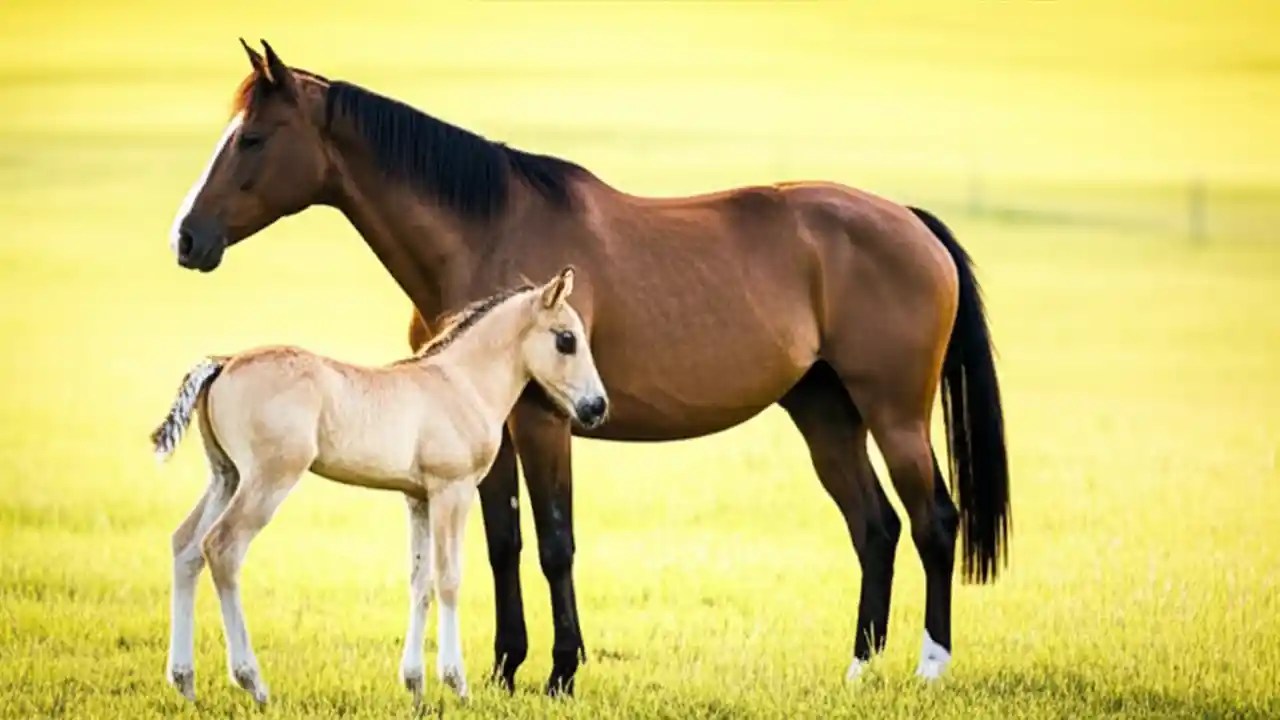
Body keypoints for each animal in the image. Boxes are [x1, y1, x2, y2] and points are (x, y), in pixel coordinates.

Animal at [150, 268, 608, 705]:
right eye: (566, 339)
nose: (597, 407)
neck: (461, 384)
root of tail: (223, 363)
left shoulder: (418, 498)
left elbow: (421, 582)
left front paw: (415, 685)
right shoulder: (452, 490)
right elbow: (449, 578)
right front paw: (456, 683)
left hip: (226, 477)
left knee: (185, 546)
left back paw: (184, 681)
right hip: (267, 479)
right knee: (222, 548)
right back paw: (253, 683)